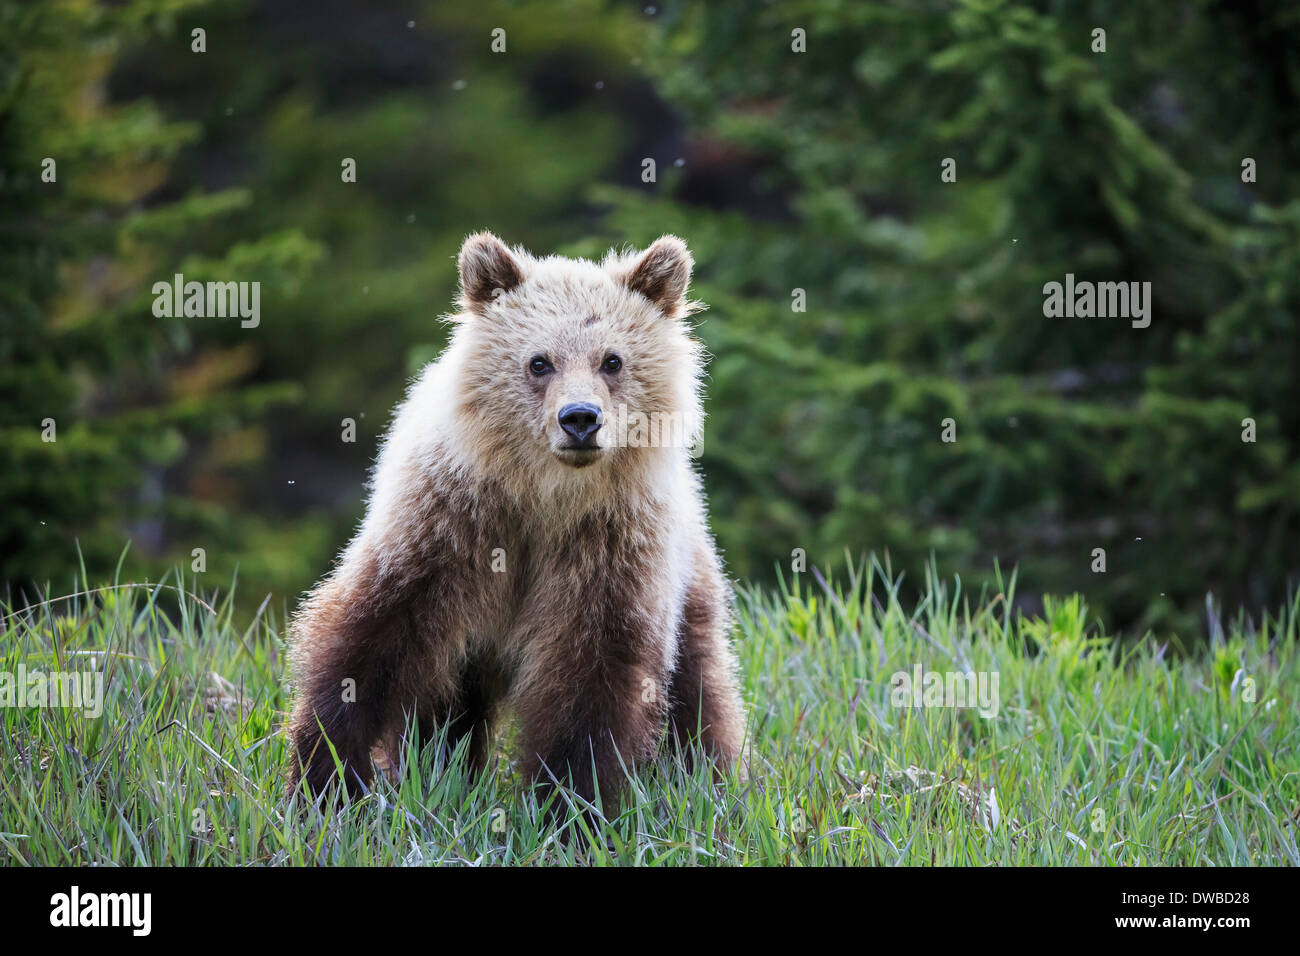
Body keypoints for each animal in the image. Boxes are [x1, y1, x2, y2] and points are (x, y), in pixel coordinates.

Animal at [285, 232, 746, 811]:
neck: (543, 499)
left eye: (612, 360)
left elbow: (593, 682)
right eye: (539, 361)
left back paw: (713, 780)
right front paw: (326, 778)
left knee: (700, 688)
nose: (580, 418)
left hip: (690, 580)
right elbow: (369, 640)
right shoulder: (447, 528)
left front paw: (568, 805)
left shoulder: (608, 552)